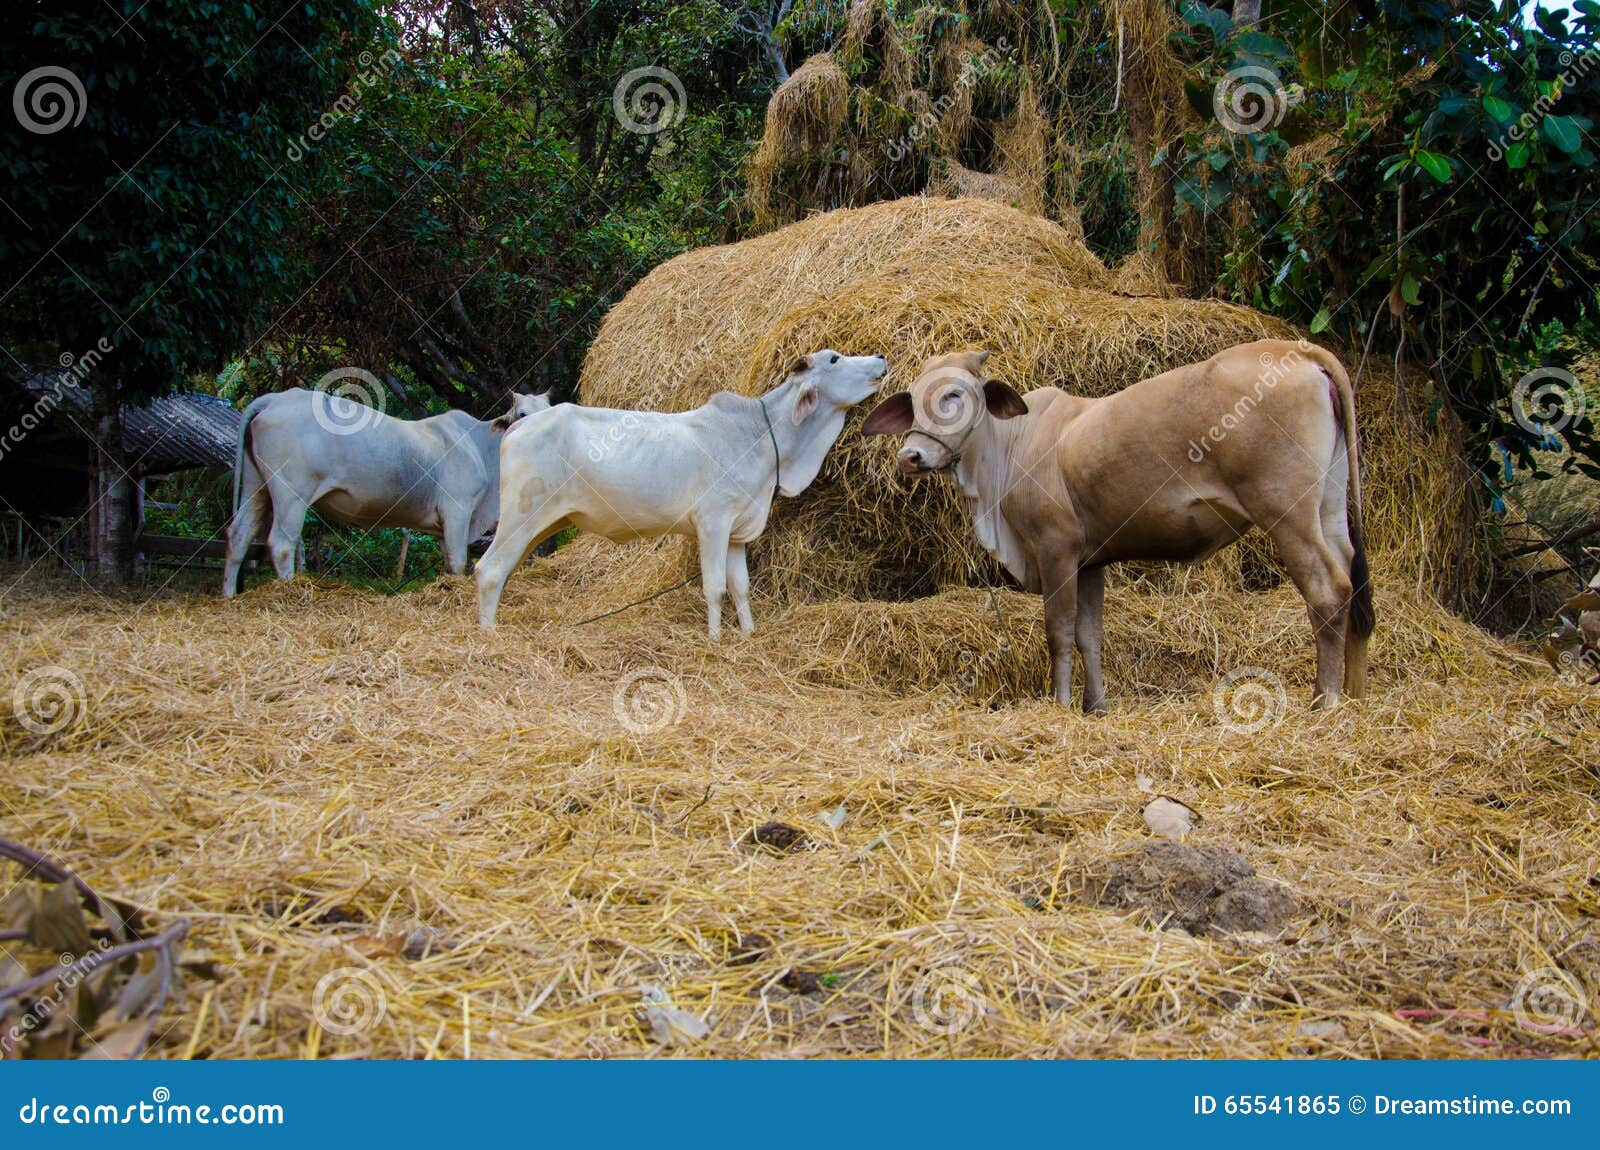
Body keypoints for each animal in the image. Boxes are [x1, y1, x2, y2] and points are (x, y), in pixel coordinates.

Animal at [223, 388, 550, 596]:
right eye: (521, 413)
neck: (482, 448)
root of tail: (274, 399)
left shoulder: (444, 526)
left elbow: (448, 563)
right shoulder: (457, 511)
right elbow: (459, 562)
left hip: (256, 486)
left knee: (239, 534)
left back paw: (229, 597)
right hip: (291, 493)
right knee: (281, 543)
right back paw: (290, 593)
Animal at [476, 350, 887, 637]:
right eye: (834, 358)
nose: (881, 357)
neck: (760, 437)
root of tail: (520, 425)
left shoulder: (738, 530)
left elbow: (740, 587)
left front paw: (748, 633)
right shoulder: (713, 522)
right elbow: (715, 587)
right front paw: (715, 639)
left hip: (543, 523)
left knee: (504, 569)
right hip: (520, 515)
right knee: (489, 569)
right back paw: (489, 636)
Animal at [860, 340, 1373, 712]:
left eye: (954, 395)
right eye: (914, 401)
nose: (910, 457)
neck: (1012, 445)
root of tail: (1302, 351)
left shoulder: (1058, 549)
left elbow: (1060, 631)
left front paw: (1061, 704)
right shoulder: (1091, 562)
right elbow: (1091, 636)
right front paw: (1096, 705)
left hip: (1288, 514)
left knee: (1328, 590)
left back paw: (1324, 701)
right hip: (1329, 508)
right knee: (1353, 582)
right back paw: (1355, 694)